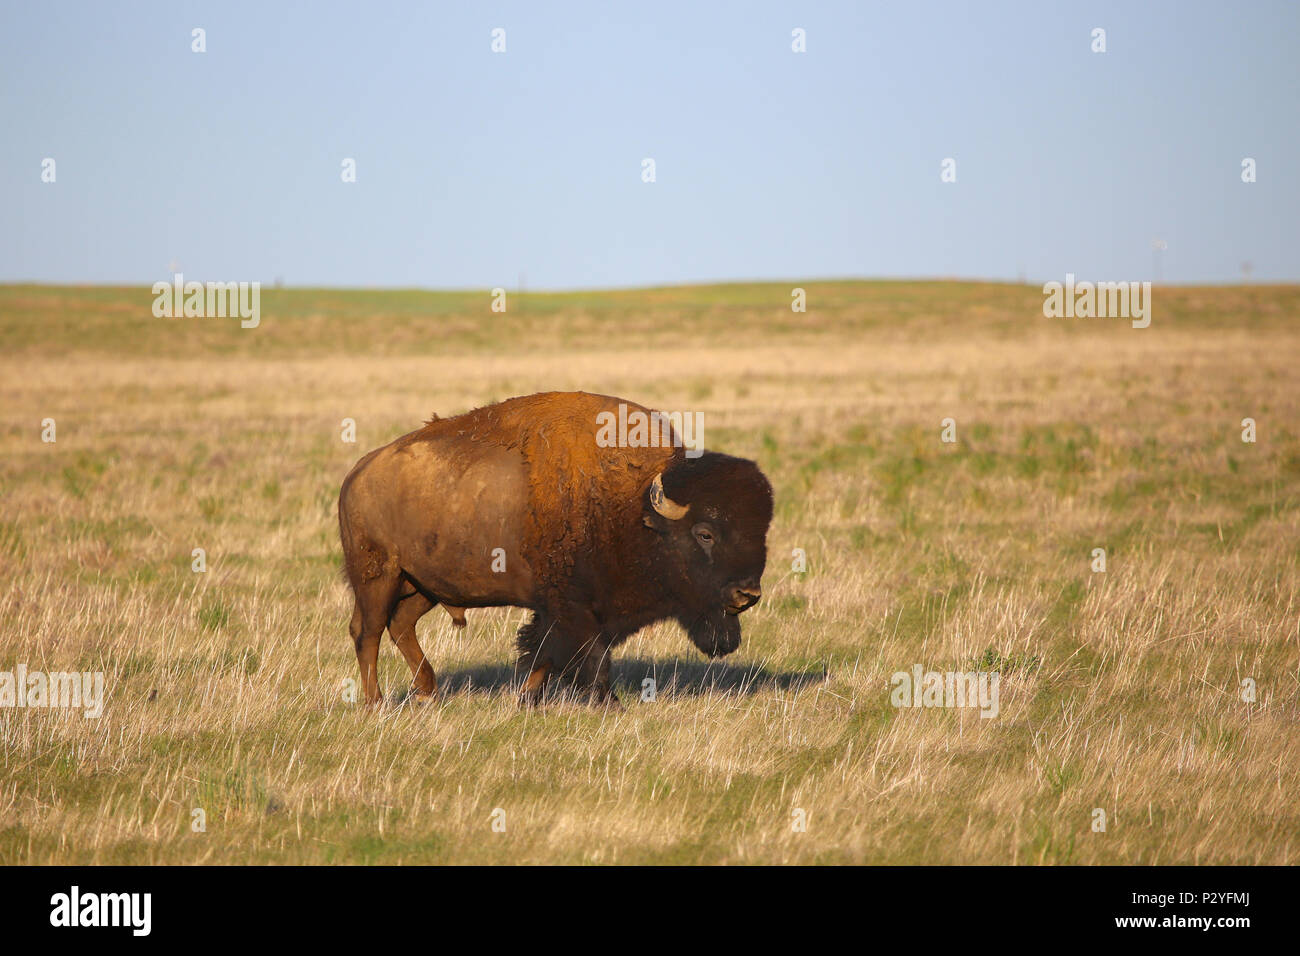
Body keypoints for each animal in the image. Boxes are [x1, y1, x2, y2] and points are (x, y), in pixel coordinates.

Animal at [337, 391, 773, 707]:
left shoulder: (564, 610)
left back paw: (428, 692)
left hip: (423, 586)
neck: (634, 505)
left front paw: (526, 700)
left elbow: (543, 653)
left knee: (400, 625)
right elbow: (588, 656)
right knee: (368, 631)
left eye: (762, 531)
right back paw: (375, 703)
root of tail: (358, 471)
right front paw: (609, 704)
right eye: (705, 533)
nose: (746, 594)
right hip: (378, 576)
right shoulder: (574, 607)